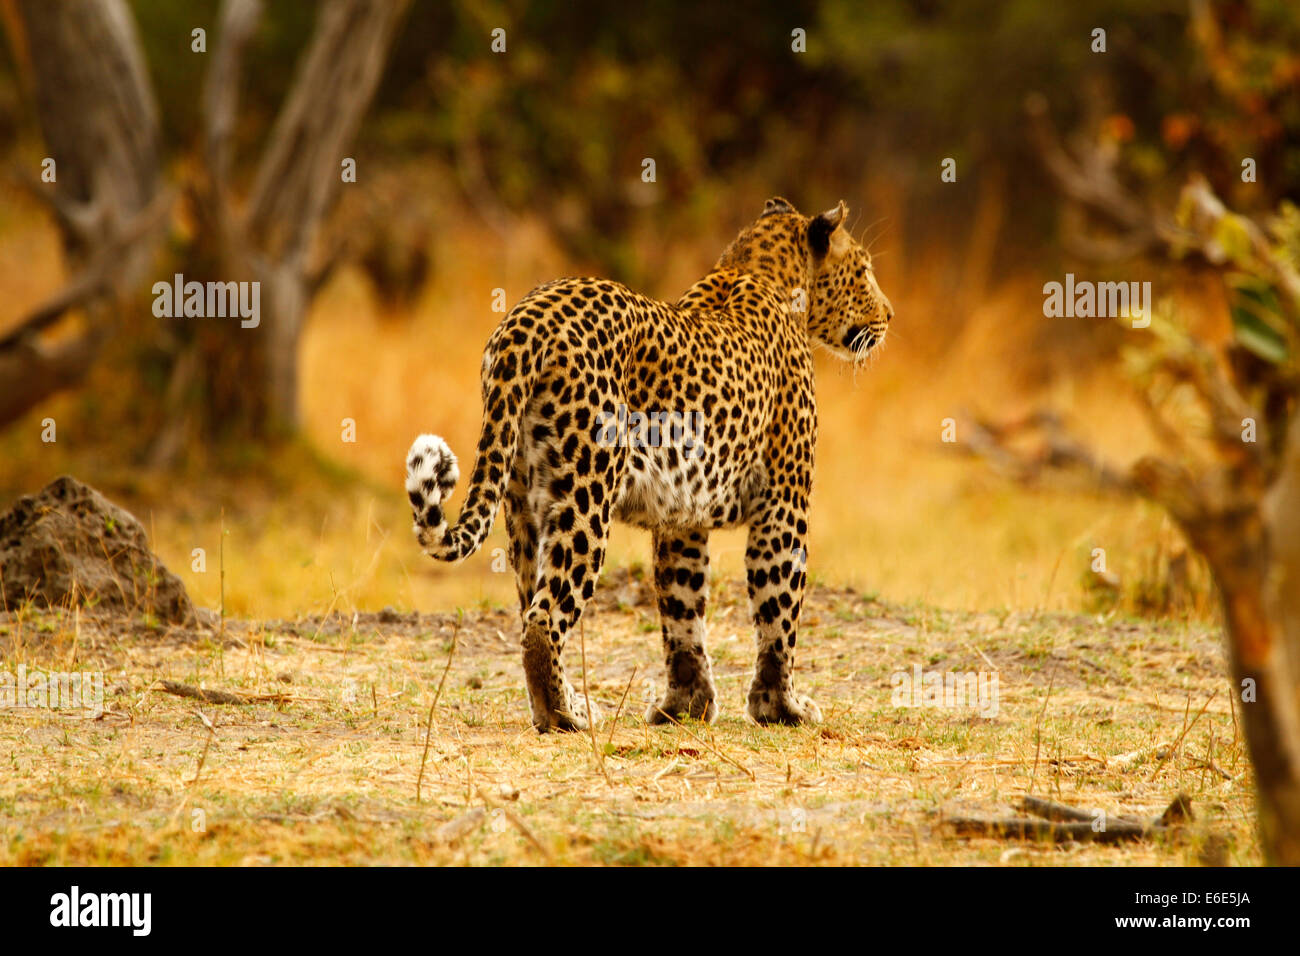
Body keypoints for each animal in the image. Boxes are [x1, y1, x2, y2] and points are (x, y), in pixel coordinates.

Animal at [405, 196, 893, 733]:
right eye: (864, 270)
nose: (889, 315)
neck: (757, 268)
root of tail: (525, 319)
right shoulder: (785, 504)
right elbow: (778, 610)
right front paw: (781, 706)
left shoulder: (683, 521)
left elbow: (682, 612)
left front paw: (685, 705)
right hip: (585, 497)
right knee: (542, 619)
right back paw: (566, 715)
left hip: (519, 500)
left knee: (527, 602)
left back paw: (558, 705)